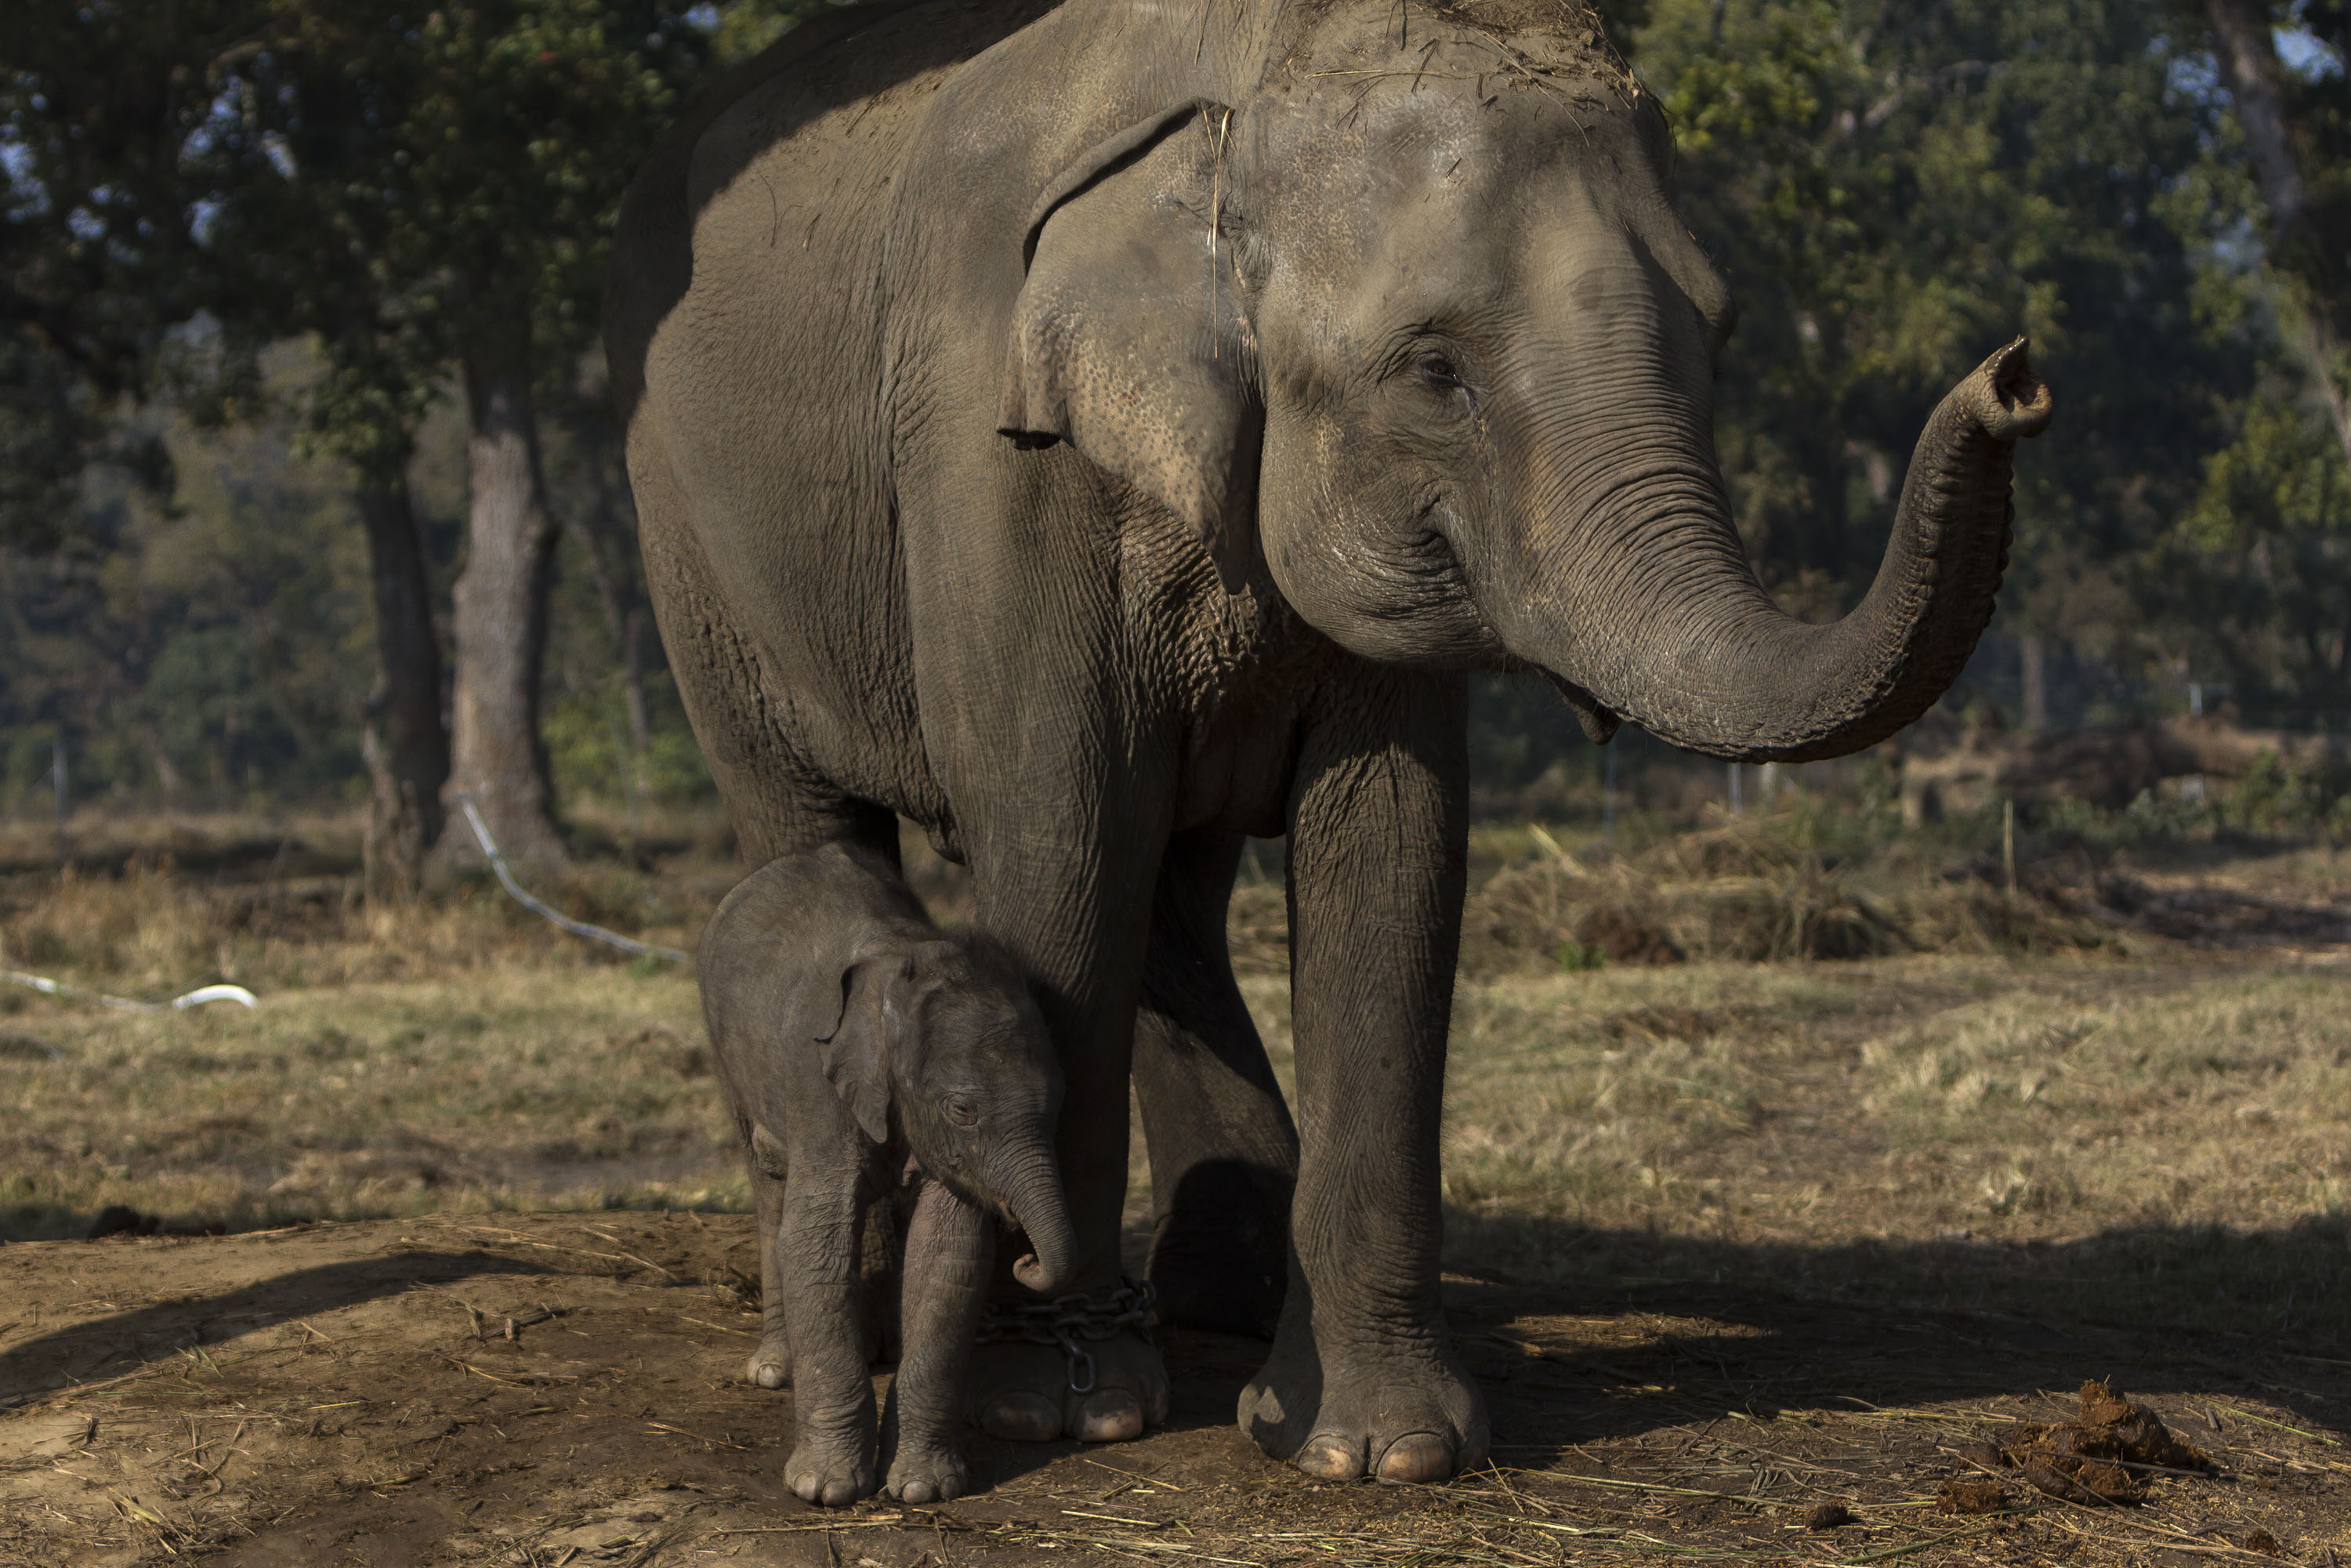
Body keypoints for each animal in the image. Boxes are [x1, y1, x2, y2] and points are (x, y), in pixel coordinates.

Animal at [699, 842, 1075, 1505]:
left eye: (1059, 1100)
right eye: (963, 1110)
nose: (1029, 1260)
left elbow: (950, 1251)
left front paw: (923, 1488)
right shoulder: (817, 1084)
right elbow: (814, 1242)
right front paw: (825, 1489)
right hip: (729, 1054)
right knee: (768, 1183)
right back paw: (774, 1370)